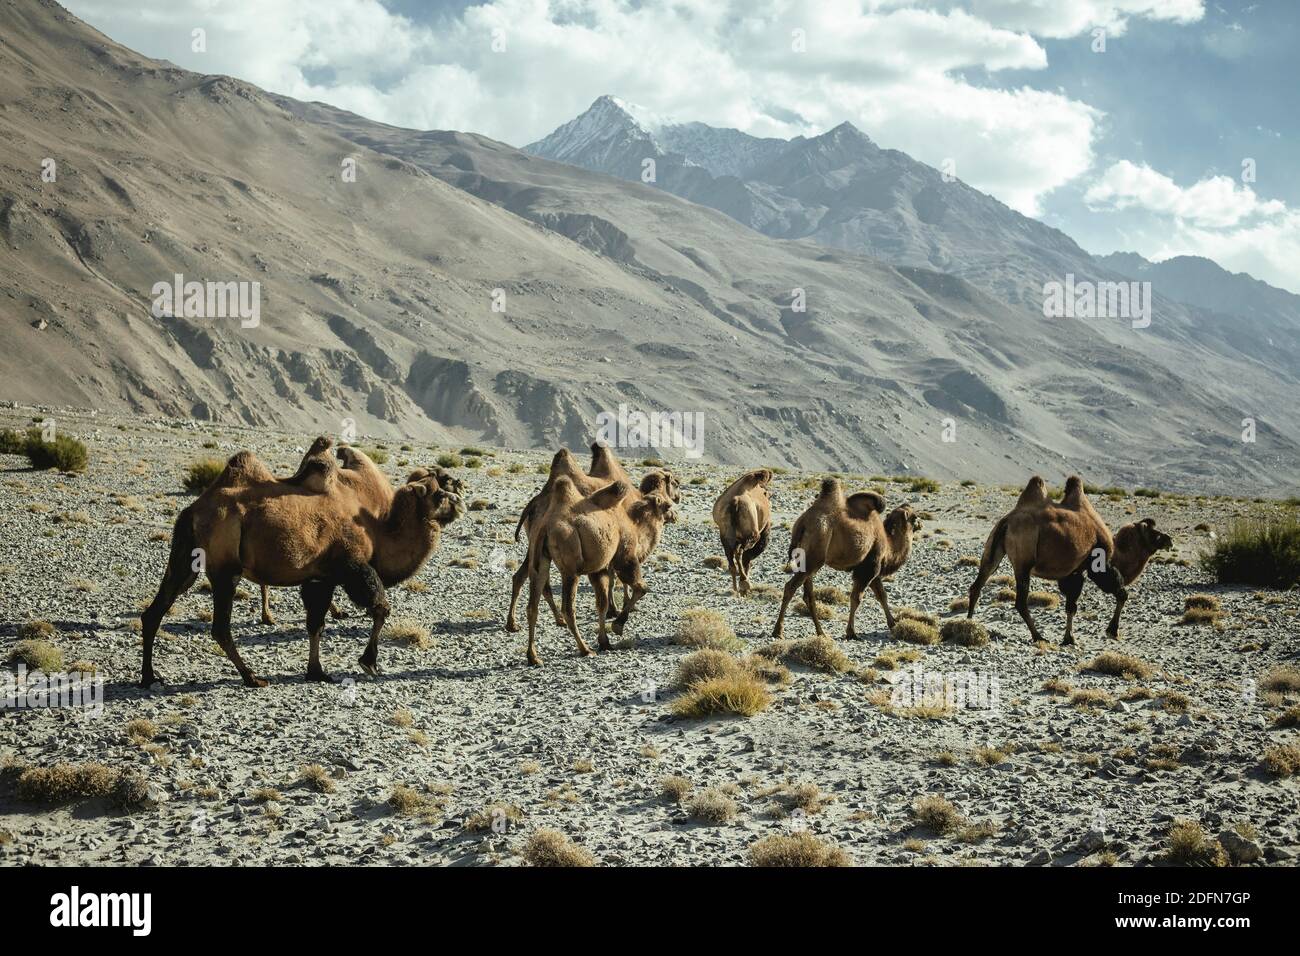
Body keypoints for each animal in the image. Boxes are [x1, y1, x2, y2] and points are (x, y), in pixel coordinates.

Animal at [139, 452, 462, 688]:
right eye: (438, 494)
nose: (459, 501)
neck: (379, 531)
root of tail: (193, 510)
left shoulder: (320, 576)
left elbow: (315, 624)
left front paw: (316, 671)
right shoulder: (352, 566)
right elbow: (380, 608)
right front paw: (368, 663)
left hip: (185, 558)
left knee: (155, 610)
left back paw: (149, 676)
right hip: (224, 568)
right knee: (220, 627)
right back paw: (252, 677)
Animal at [523, 475, 677, 666]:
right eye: (668, 505)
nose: (675, 516)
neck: (635, 528)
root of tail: (546, 527)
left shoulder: (599, 569)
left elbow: (602, 604)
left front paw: (605, 641)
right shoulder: (624, 558)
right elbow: (641, 588)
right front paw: (617, 626)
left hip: (539, 559)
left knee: (533, 606)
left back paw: (533, 657)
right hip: (570, 567)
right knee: (568, 608)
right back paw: (585, 649)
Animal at [772, 478, 921, 641]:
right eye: (914, 517)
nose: (920, 524)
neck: (888, 545)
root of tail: (802, 524)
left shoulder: (871, 569)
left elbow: (882, 595)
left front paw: (893, 624)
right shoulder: (870, 567)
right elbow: (856, 598)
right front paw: (851, 632)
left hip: (806, 560)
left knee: (808, 595)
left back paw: (821, 633)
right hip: (814, 557)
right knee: (790, 587)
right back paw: (778, 631)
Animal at [966, 475, 1132, 644]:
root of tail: (1007, 522)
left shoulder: (1072, 572)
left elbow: (1071, 605)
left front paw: (1068, 638)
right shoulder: (1095, 562)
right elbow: (1114, 592)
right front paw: (1110, 631)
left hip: (992, 552)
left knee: (977, 585)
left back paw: (969, 623)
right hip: (1024, 562)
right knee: (1020, 602)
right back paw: (1038, 636)